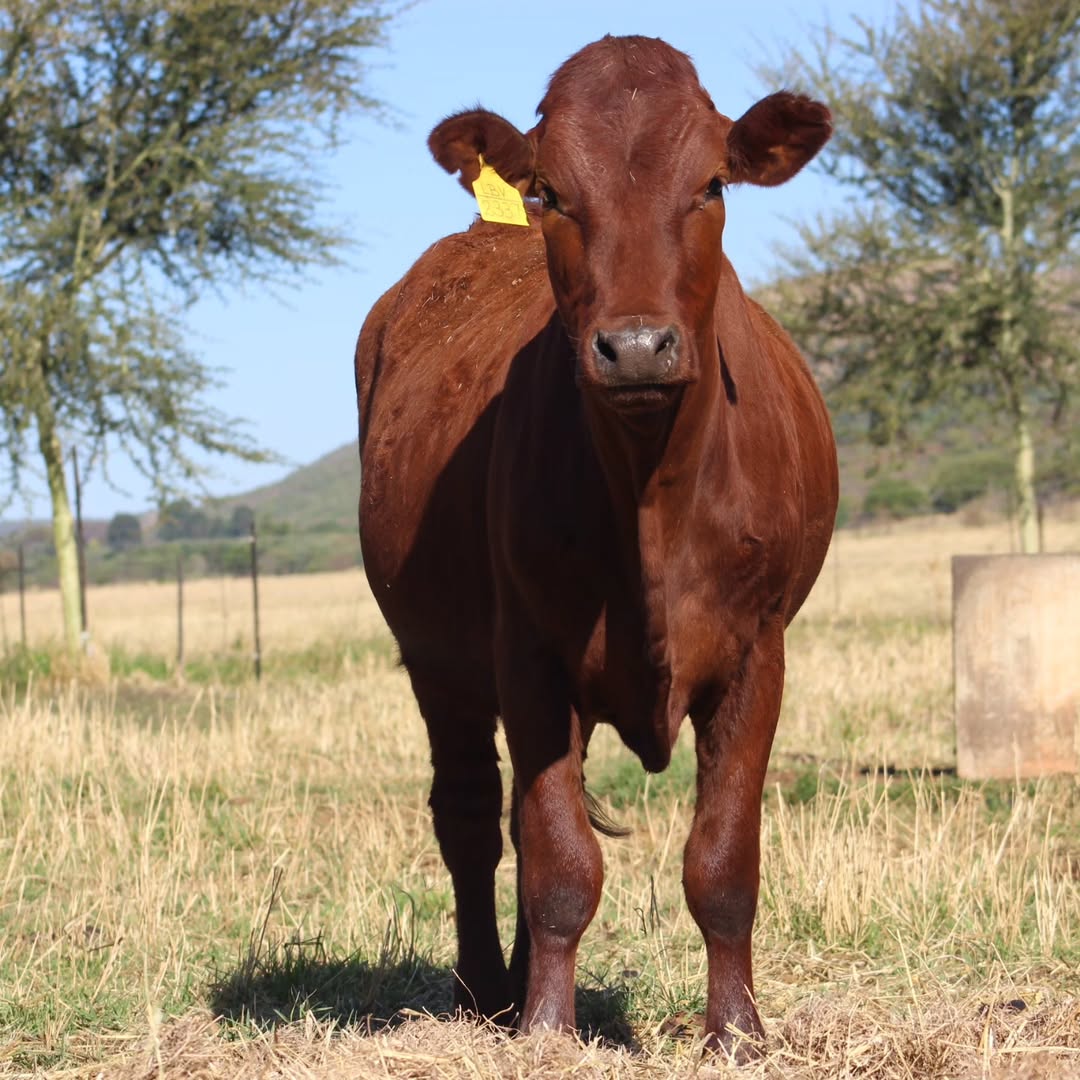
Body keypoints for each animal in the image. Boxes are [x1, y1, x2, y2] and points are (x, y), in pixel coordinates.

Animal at [355, 35, 837, 1057]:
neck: (652, 492)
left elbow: (722, 861)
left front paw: (737, 1031)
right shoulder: (529, 654)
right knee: (472, 819)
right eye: (549, 192)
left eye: (712, 183)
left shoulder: (759, 651)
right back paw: (485, 992)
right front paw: (545, 1028)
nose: (639, 346)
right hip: (436, 659)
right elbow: (559, 860)